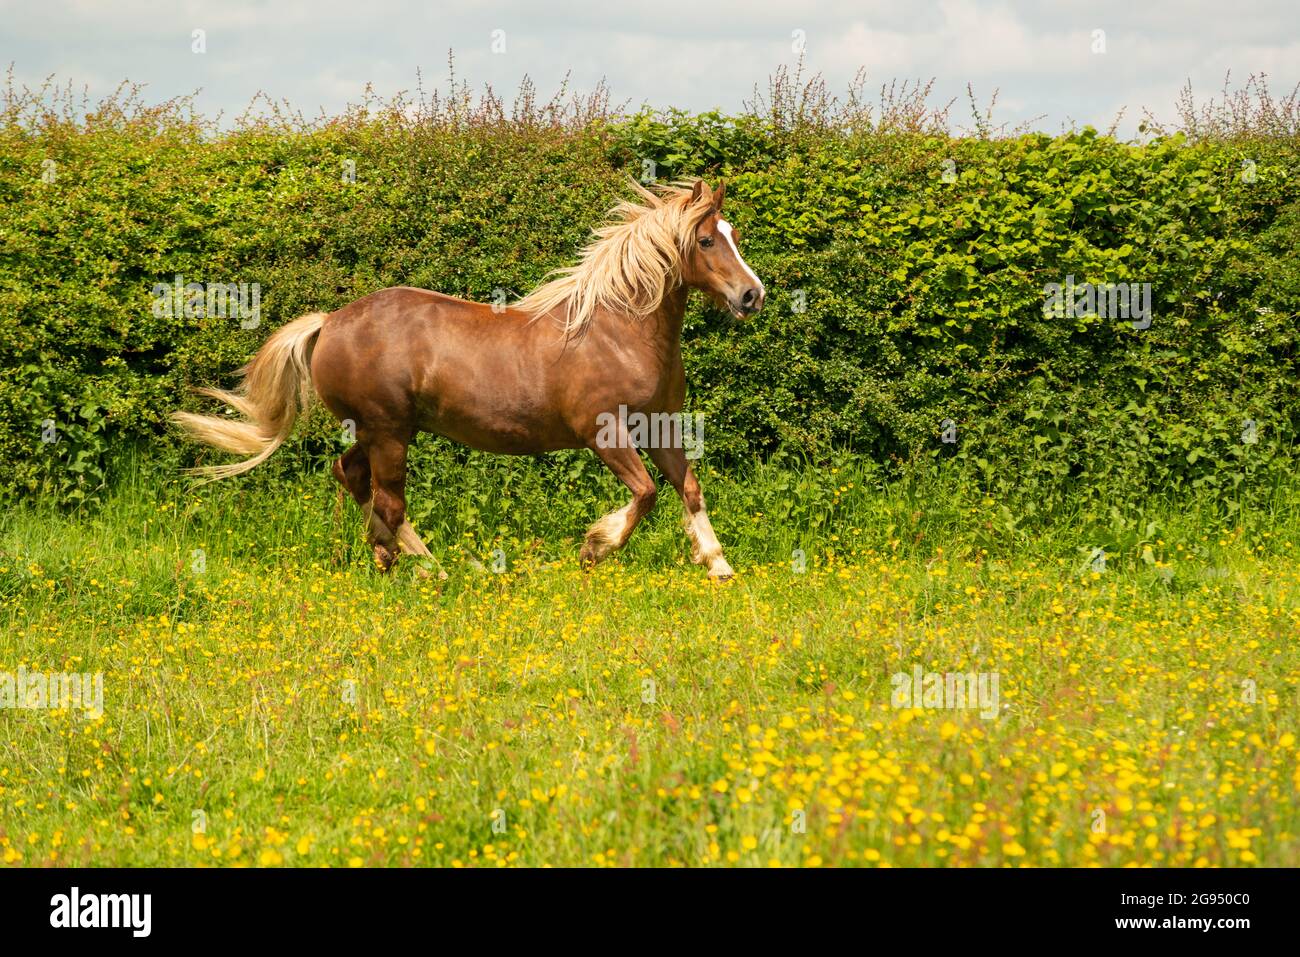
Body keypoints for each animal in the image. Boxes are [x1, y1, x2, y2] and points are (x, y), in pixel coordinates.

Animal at [172, 179, 765, 579]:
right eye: (707, 241)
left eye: (733, 234)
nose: (751, 296)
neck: (618, 330)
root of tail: (331, 321)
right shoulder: (604, 433)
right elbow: (645, 494)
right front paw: (595, 546)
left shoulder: (659, 427)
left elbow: (688, 488)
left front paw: (718, 565)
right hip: (388, 432)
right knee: (388, 501)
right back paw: (421, 569)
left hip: (379, 431)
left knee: (352, 477)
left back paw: (400, 558)